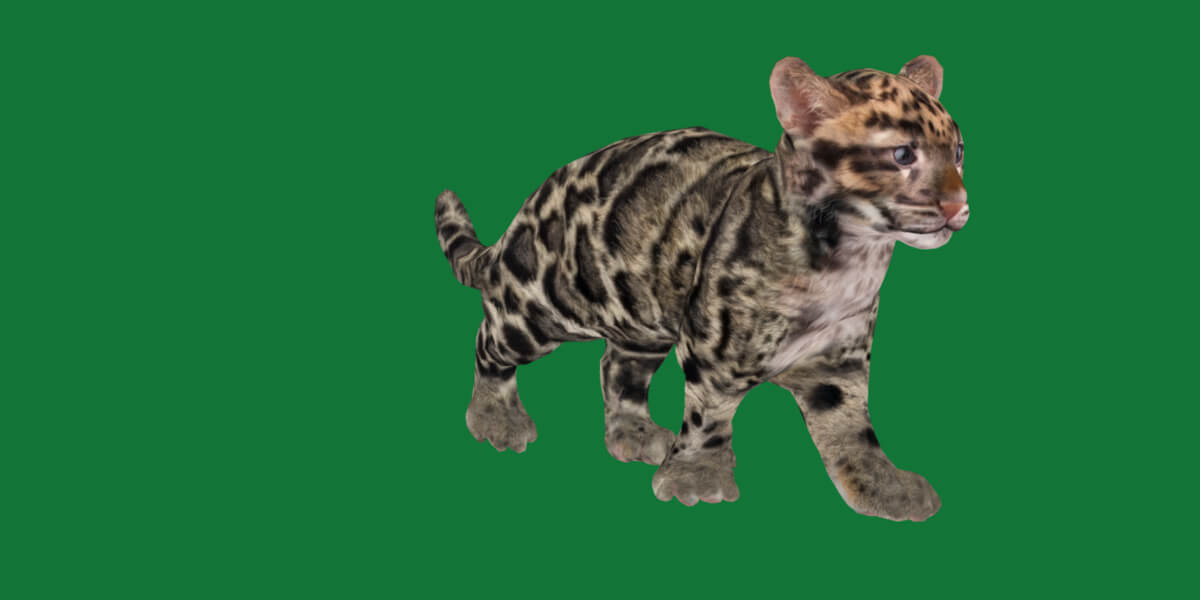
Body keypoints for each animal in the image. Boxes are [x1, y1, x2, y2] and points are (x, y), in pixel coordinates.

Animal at [433, 55, 967, 521]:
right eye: (902, 154)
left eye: (959, 153)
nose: (958, 206)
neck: (850, 261)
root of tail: (526, 210)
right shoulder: (715, 352)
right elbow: (710, 415)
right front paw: (697, 477)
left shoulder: (837, 363)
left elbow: (852, 427)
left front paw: (881, 484)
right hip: (541, 305)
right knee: (490, 342)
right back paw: (495, 419)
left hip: (639, 317)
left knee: (617, 368)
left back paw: (634, 431)